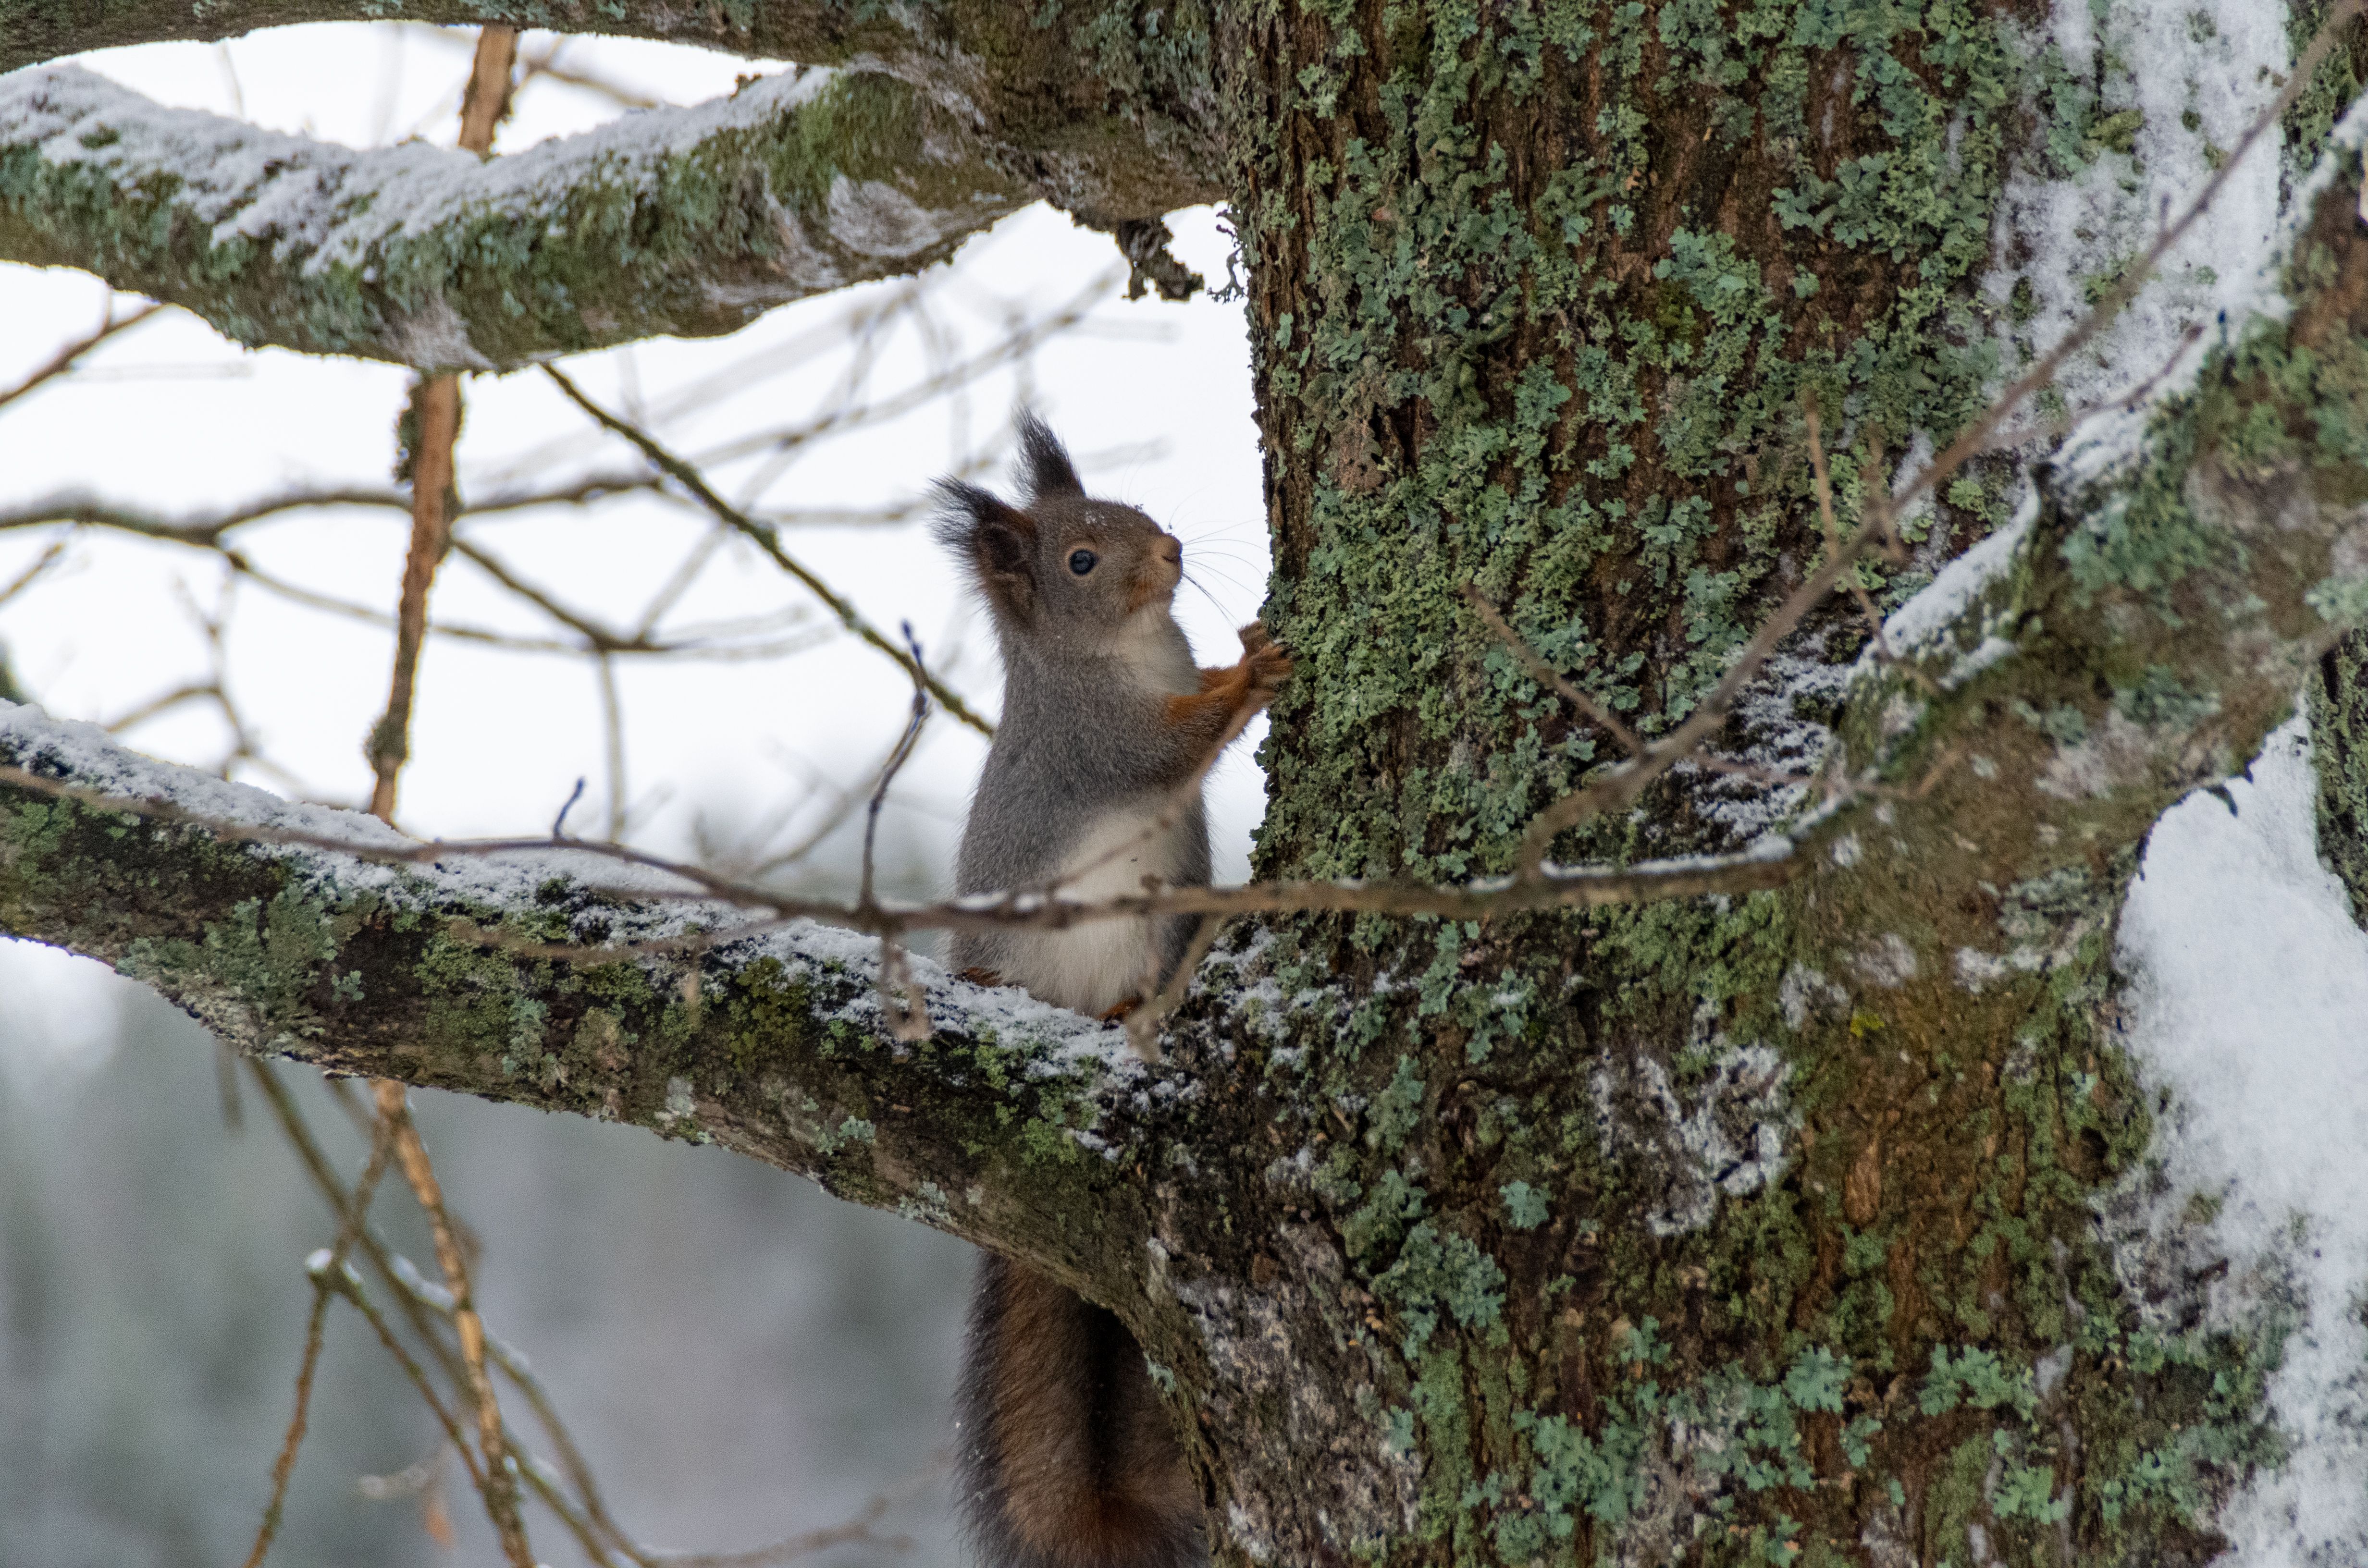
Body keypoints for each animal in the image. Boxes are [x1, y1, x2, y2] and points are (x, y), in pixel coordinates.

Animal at [934, 414, 1288, 1568]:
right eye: (1081, 562)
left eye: (1132, 513)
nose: (1171, 551)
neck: (1124, 650)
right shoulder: (1099, 741)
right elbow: (1170, 746)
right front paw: (1250, 670)